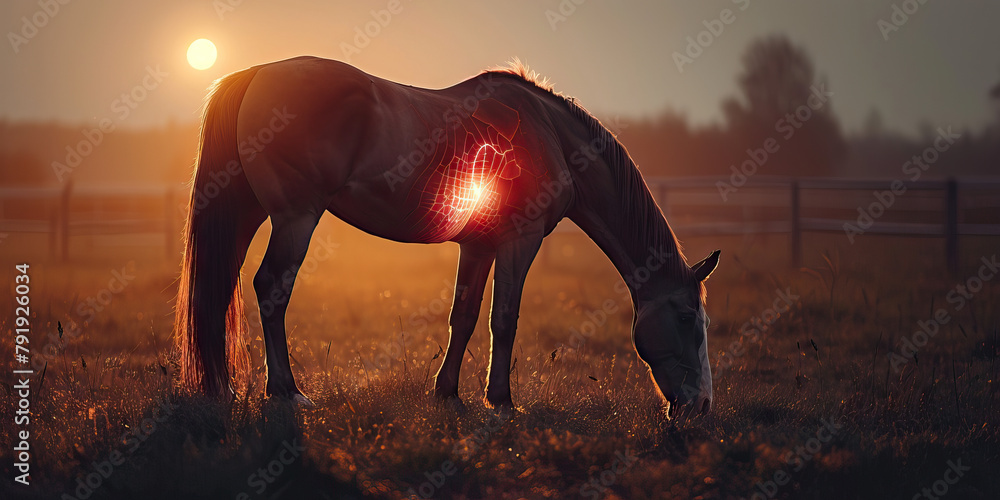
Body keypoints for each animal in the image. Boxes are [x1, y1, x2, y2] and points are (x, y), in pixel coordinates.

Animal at [174, 56, 720, 416]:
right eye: (687, 316)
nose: (701, 407)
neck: (550, 135)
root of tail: (256, 74)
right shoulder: (519, 241)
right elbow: (504, 319)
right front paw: (501, 401)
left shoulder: (478, 245)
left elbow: (465, 316)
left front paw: (448, 392)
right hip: (295, 218)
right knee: (271, 289)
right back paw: (286, 391)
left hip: (248, 213)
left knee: (219, 290)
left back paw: (222, 388)